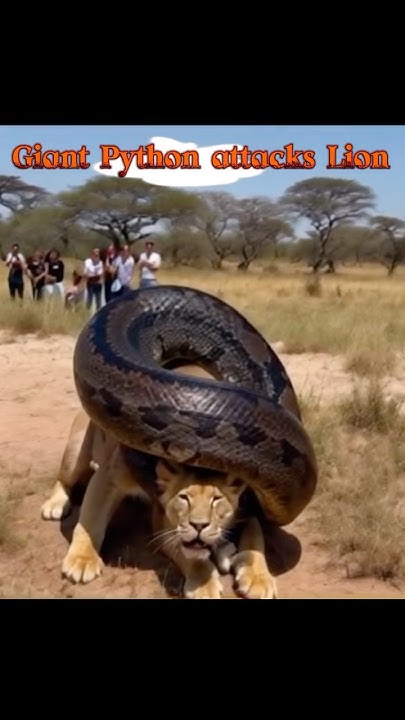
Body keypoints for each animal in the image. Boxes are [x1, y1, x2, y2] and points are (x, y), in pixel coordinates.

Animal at [41, 365, 277, 599]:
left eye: (216, 499)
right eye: (184, 497)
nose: (199, 525)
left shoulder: (248, 509)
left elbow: (255, 540)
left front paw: (258, 578)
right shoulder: (113, 480)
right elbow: (91, 521)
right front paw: (82, 561)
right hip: (76, 450)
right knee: (63, 479)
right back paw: (54, 505)